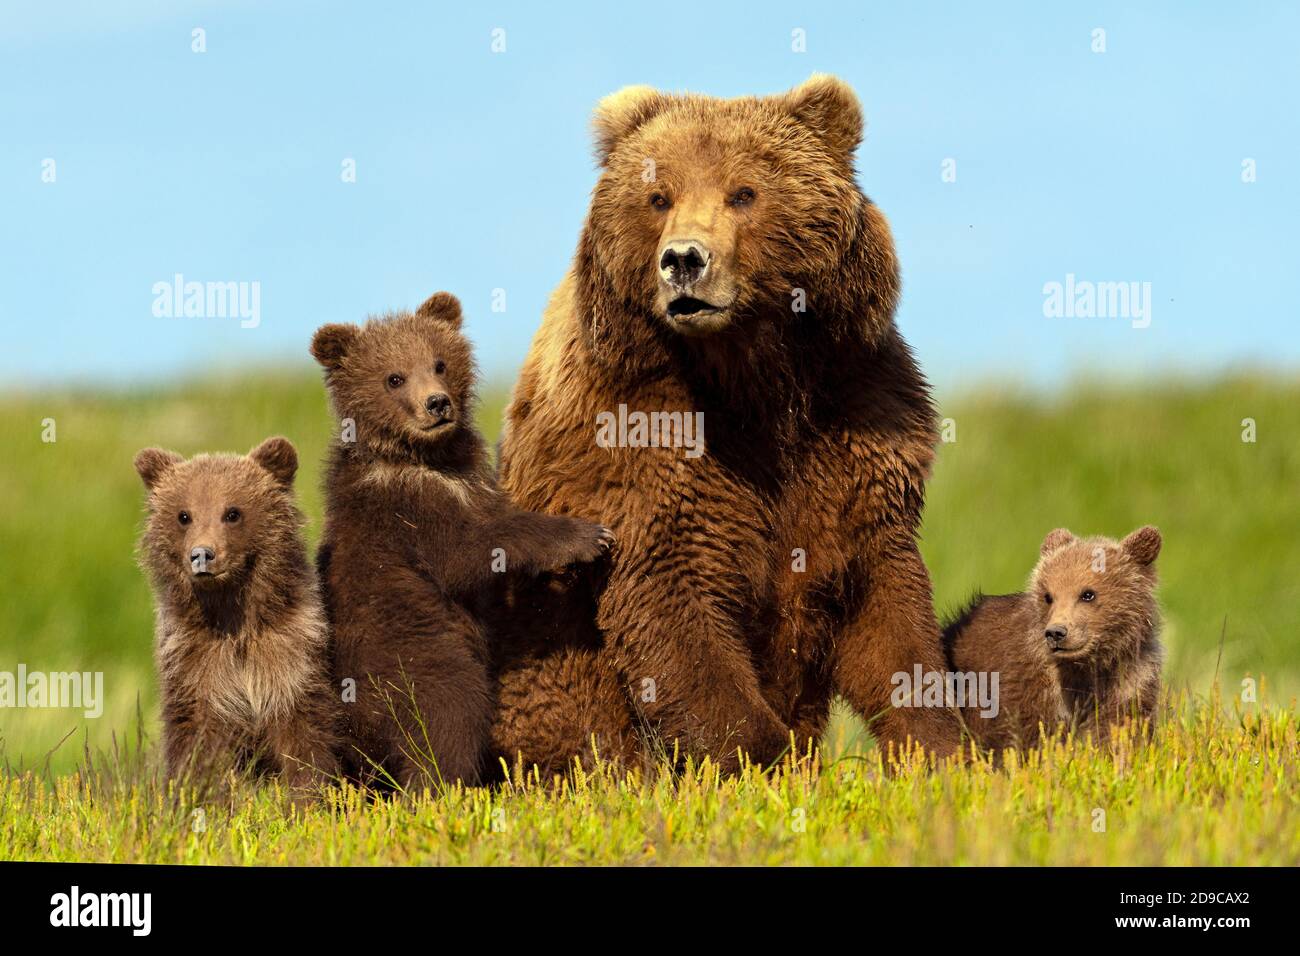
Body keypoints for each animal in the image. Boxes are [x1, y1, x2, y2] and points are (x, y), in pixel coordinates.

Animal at [134, 437, 340, 796]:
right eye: (184, 515)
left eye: (232, 512)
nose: (202, 554)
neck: (233, 615)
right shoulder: (195, 663)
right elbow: (197, 746)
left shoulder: (290, 656)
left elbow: (304, 739)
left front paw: (307, 796)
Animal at [310, 291, 615, 789]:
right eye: (394, 377)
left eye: (439, 363)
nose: (436, 404)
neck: (427, 460)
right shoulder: (408, 513)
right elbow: (470, 551)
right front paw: (585, 536)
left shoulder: (469, 479)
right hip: (416, 656)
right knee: (451, 714)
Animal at [490, 74, 963, 776]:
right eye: (658, 196)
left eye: (744, 193)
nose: (684, 259)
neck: (756, 379)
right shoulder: (641, 444)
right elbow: (673, 608)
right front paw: (767, 760)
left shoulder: (855, 428)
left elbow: (885, 614)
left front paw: (943, 750)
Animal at [942, 526, 1164, 754]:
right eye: (1048, 596)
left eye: (1088, 594)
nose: (1056, 632)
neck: (1086, 666)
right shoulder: (1026, 684)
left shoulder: (1130, 680)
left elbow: (1121, 728)